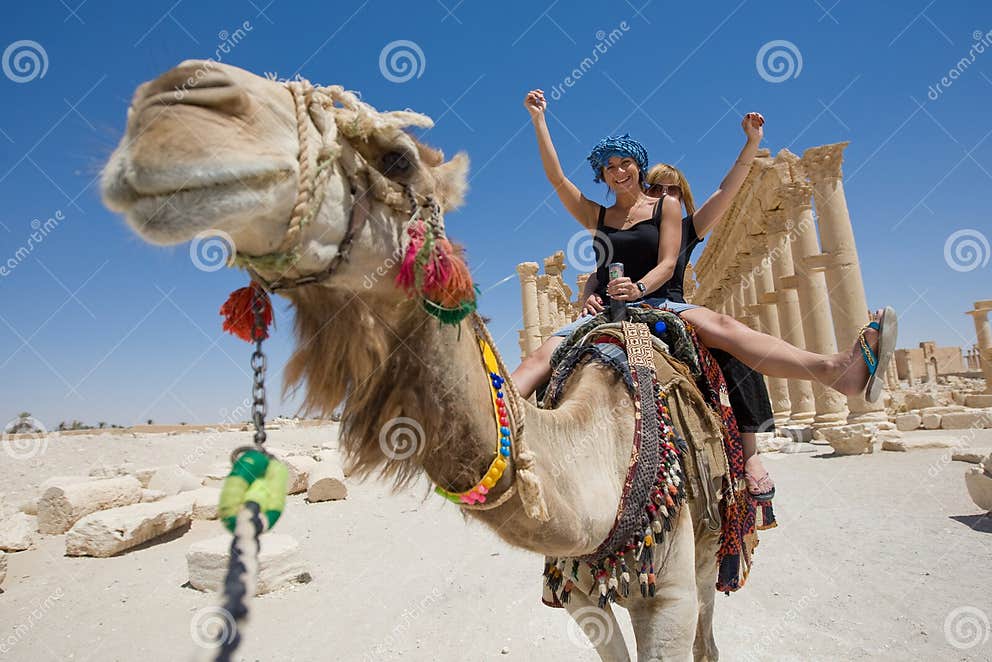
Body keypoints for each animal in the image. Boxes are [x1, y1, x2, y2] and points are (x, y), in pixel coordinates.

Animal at [101, 60, 739, 661]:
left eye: (399, 159)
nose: (172, 106)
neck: (607, 449)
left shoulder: (669, 590)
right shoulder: (579, 589)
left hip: (713, 548)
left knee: (710, 630)